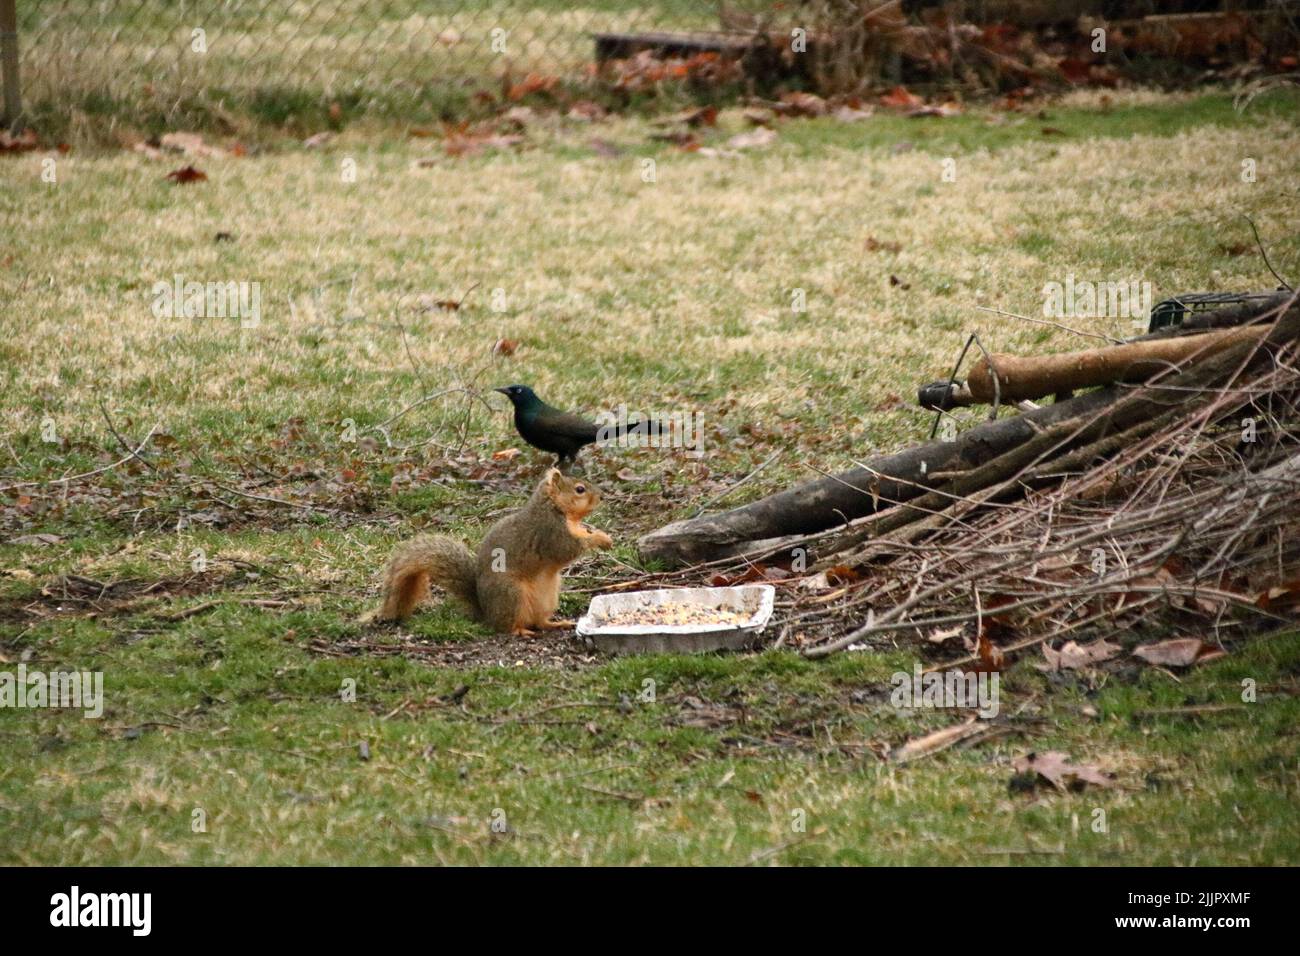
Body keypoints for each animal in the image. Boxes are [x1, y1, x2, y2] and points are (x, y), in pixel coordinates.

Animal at [366, 468, 614, 635]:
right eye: (580, 489)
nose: (602, 497)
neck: (556, 509)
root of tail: (485, 612)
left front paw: (601, 534)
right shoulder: (550, 533)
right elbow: (566, 550)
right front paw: (599, 539)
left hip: (548, 597)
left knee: (539, 622)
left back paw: (555, 623)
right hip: (511, 593)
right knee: (507, 626)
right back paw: (520, 631)